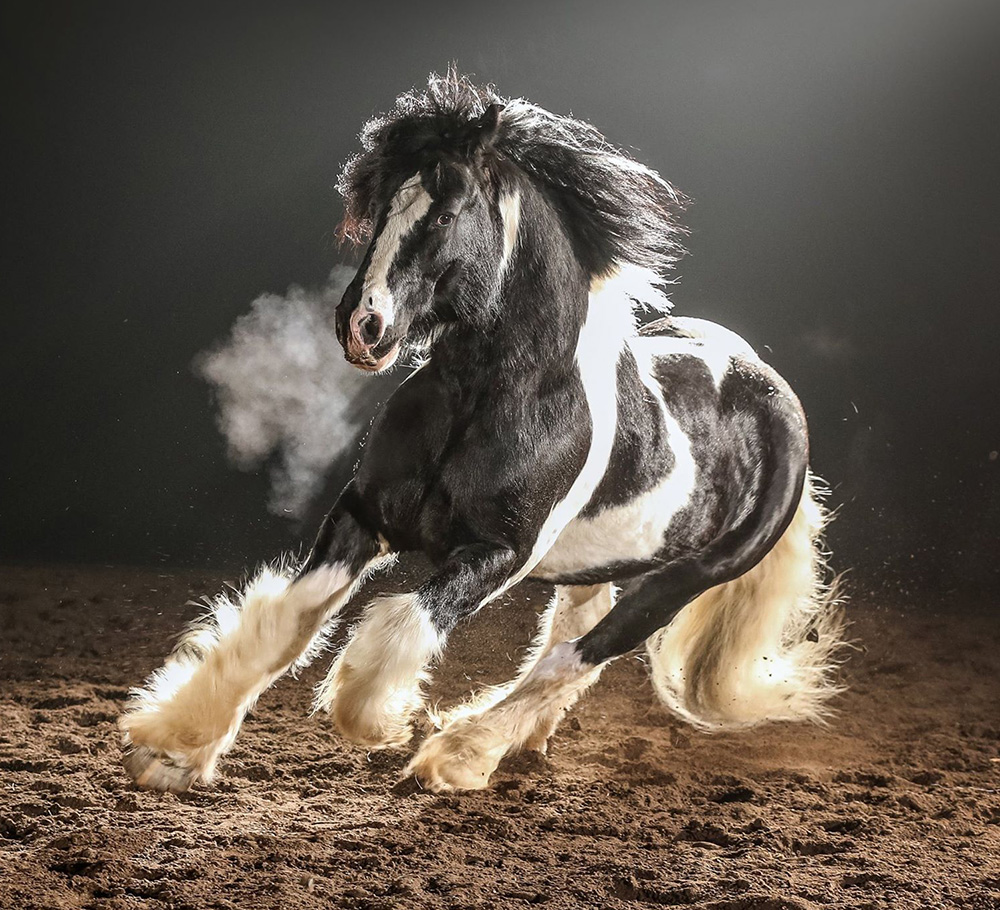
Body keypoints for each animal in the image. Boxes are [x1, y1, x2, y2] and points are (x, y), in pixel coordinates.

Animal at [119, 71, 845, 794]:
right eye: (379, 209)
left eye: (443, 214)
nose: (362, 326)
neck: (487, 399)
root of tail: (769, 390)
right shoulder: (361, 515)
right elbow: (285, 621)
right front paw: (171, 748)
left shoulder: (500, 553)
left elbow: (404, 624)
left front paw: (377, 721)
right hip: (599, 562)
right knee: (571, 634)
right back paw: (521, 743)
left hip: (683, 578)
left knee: (581, 654)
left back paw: (461, 754)